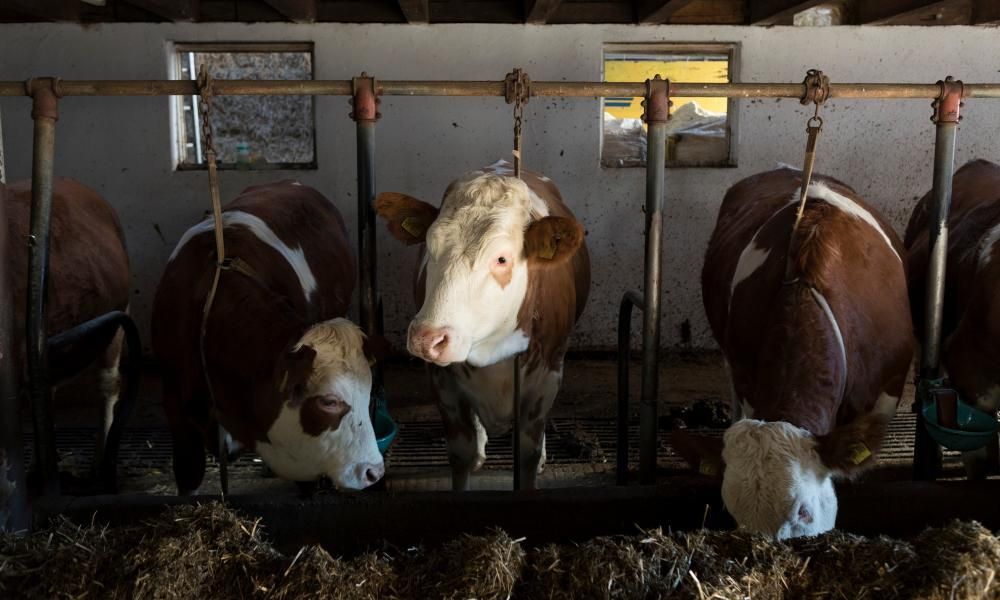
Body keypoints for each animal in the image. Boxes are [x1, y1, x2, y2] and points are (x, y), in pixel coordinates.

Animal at [375, 160, 590, 490]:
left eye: (501, 259)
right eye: (429, 246)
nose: (427, 338)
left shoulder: (547, 375)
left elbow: (527, 455)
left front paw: (536, 459)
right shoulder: (441, 380)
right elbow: (460, 453)